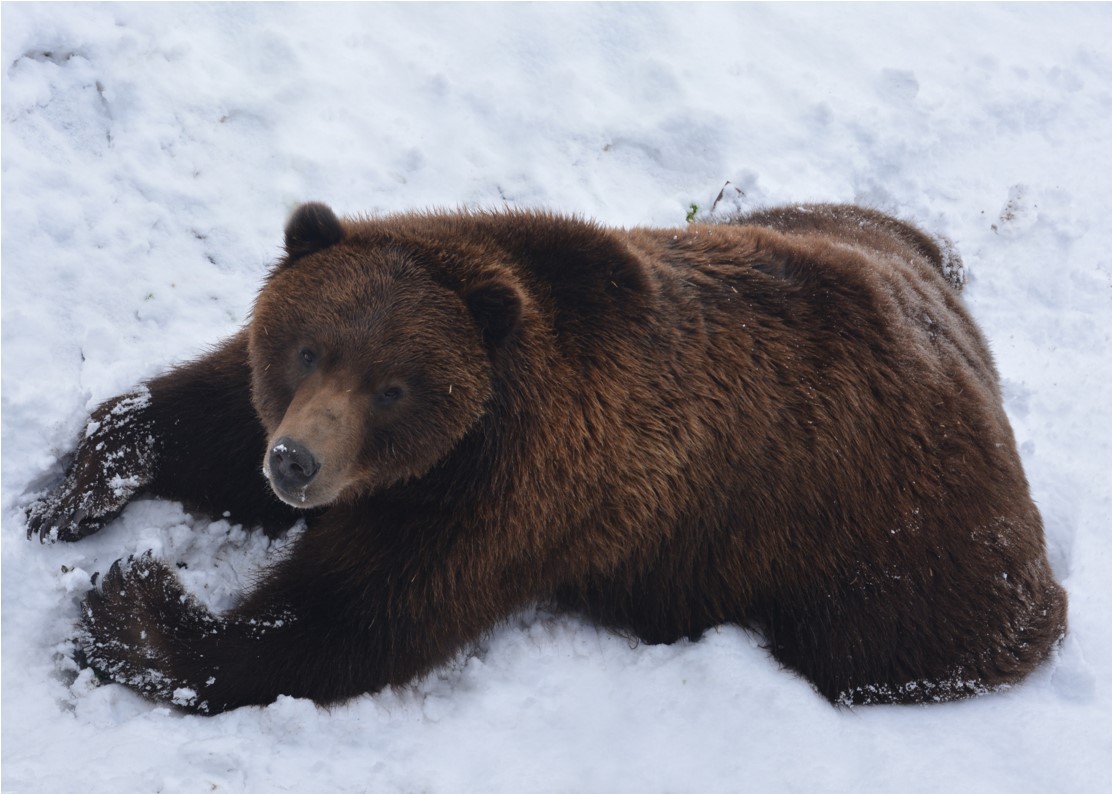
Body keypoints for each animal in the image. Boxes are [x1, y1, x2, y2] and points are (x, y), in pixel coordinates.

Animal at [26, 201, 1067, 713]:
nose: (296, 465)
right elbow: (202, 418)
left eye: (395, 387)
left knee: (890, 643)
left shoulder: (524, 491)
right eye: (309, 349)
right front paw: (73, 490)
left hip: (885, 552)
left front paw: (133, 610)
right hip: (842, 219)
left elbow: (358, 617)